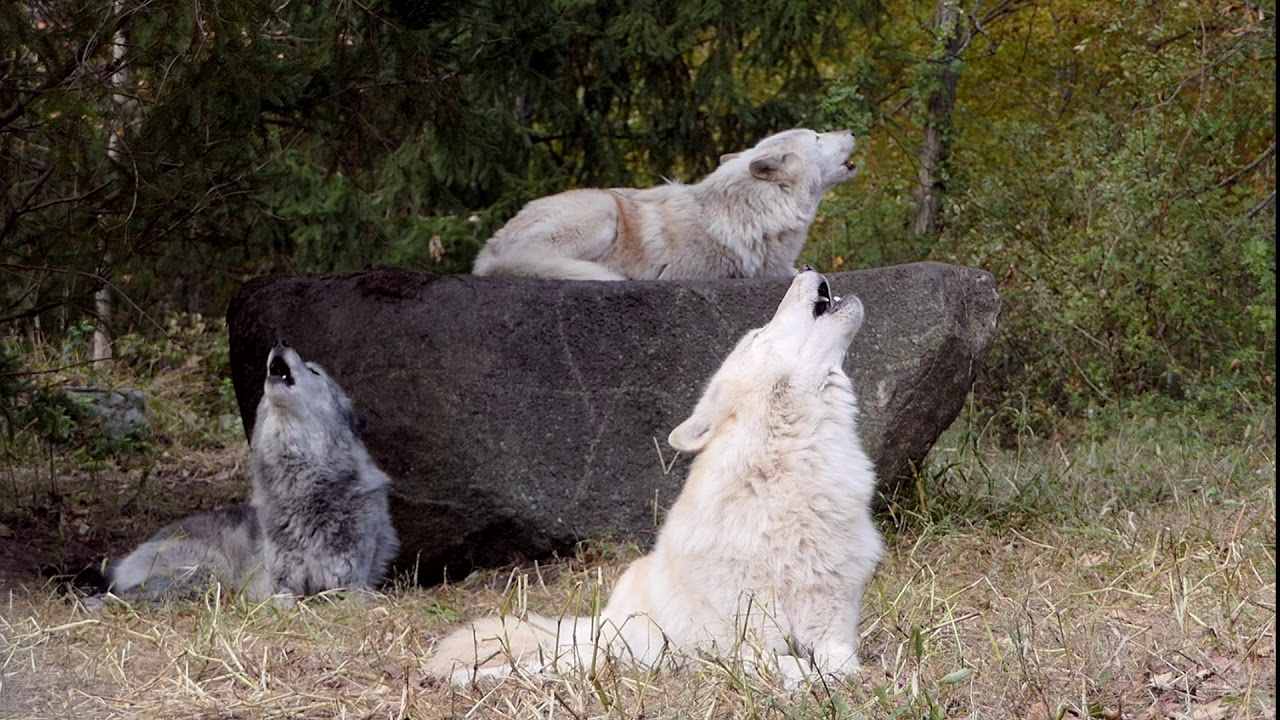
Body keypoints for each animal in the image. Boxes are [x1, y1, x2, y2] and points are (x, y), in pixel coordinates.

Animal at [97, 342, 399, 604]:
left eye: (315, 372)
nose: (280, 342)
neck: (302, 490)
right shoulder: (278, 584)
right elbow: (283, 602)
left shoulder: (350, 584)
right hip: (208, 570)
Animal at [424, 268, 883, 686]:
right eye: (757, 335)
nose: (805, 268)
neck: (788, 474)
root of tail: (601, 618)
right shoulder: (740, 643)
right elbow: (778, 662)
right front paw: (802, 675)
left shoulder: (832, 624)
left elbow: (839, 661)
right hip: (616, 651)